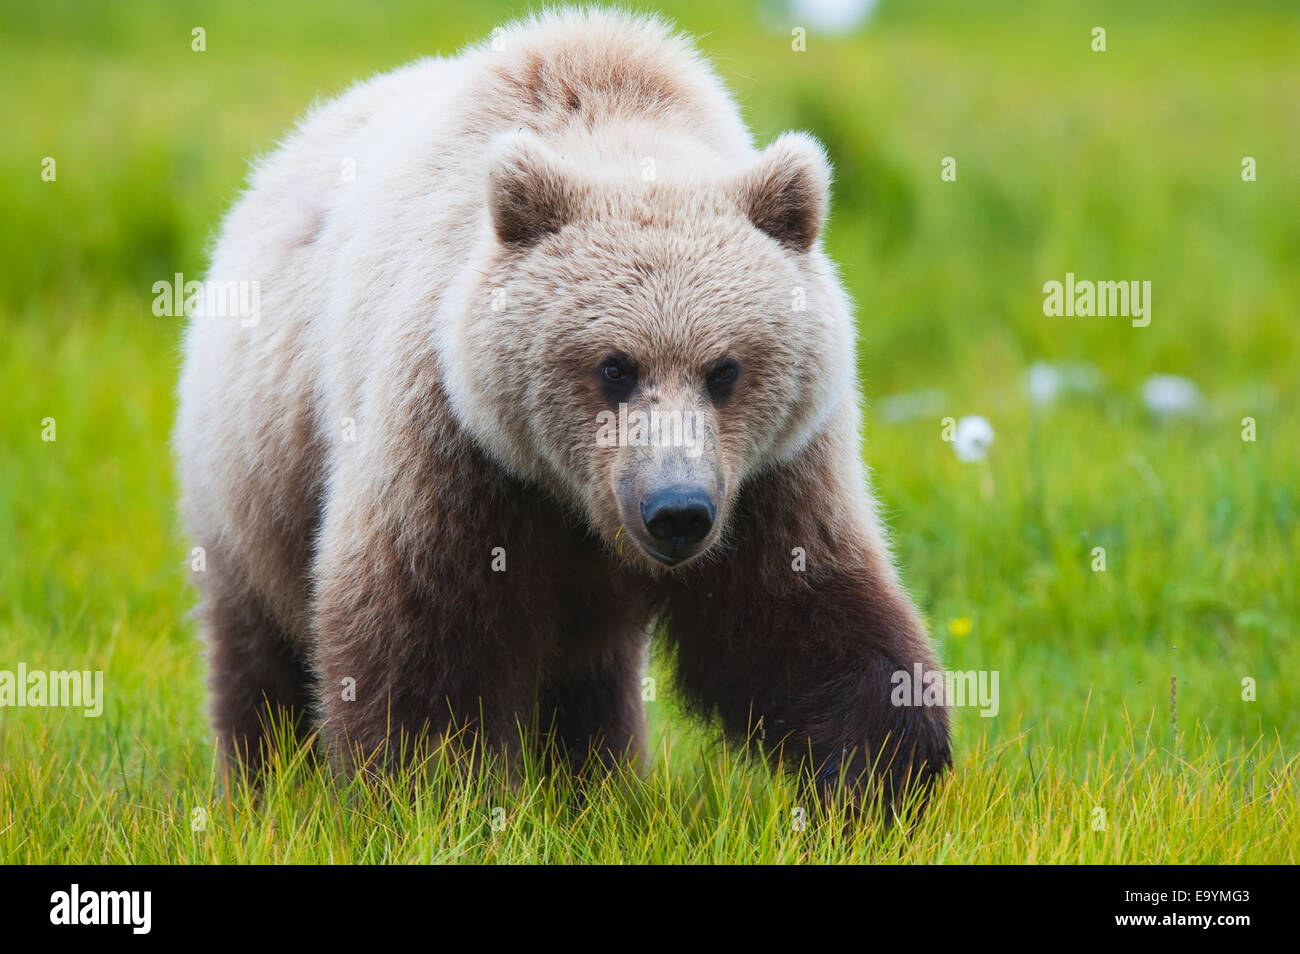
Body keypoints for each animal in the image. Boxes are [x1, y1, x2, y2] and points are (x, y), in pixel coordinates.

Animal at [175, 7, 951, 815]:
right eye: (614, 366)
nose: (677, 511)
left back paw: (599, 784)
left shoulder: (771, 473)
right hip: (254, 471)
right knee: (256, 647)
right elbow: (426, 634)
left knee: (590, 679)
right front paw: (433, 795)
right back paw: (260, 787)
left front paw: (881, 775)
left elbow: (796, 614)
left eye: (725, 370)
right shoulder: (455, 444)